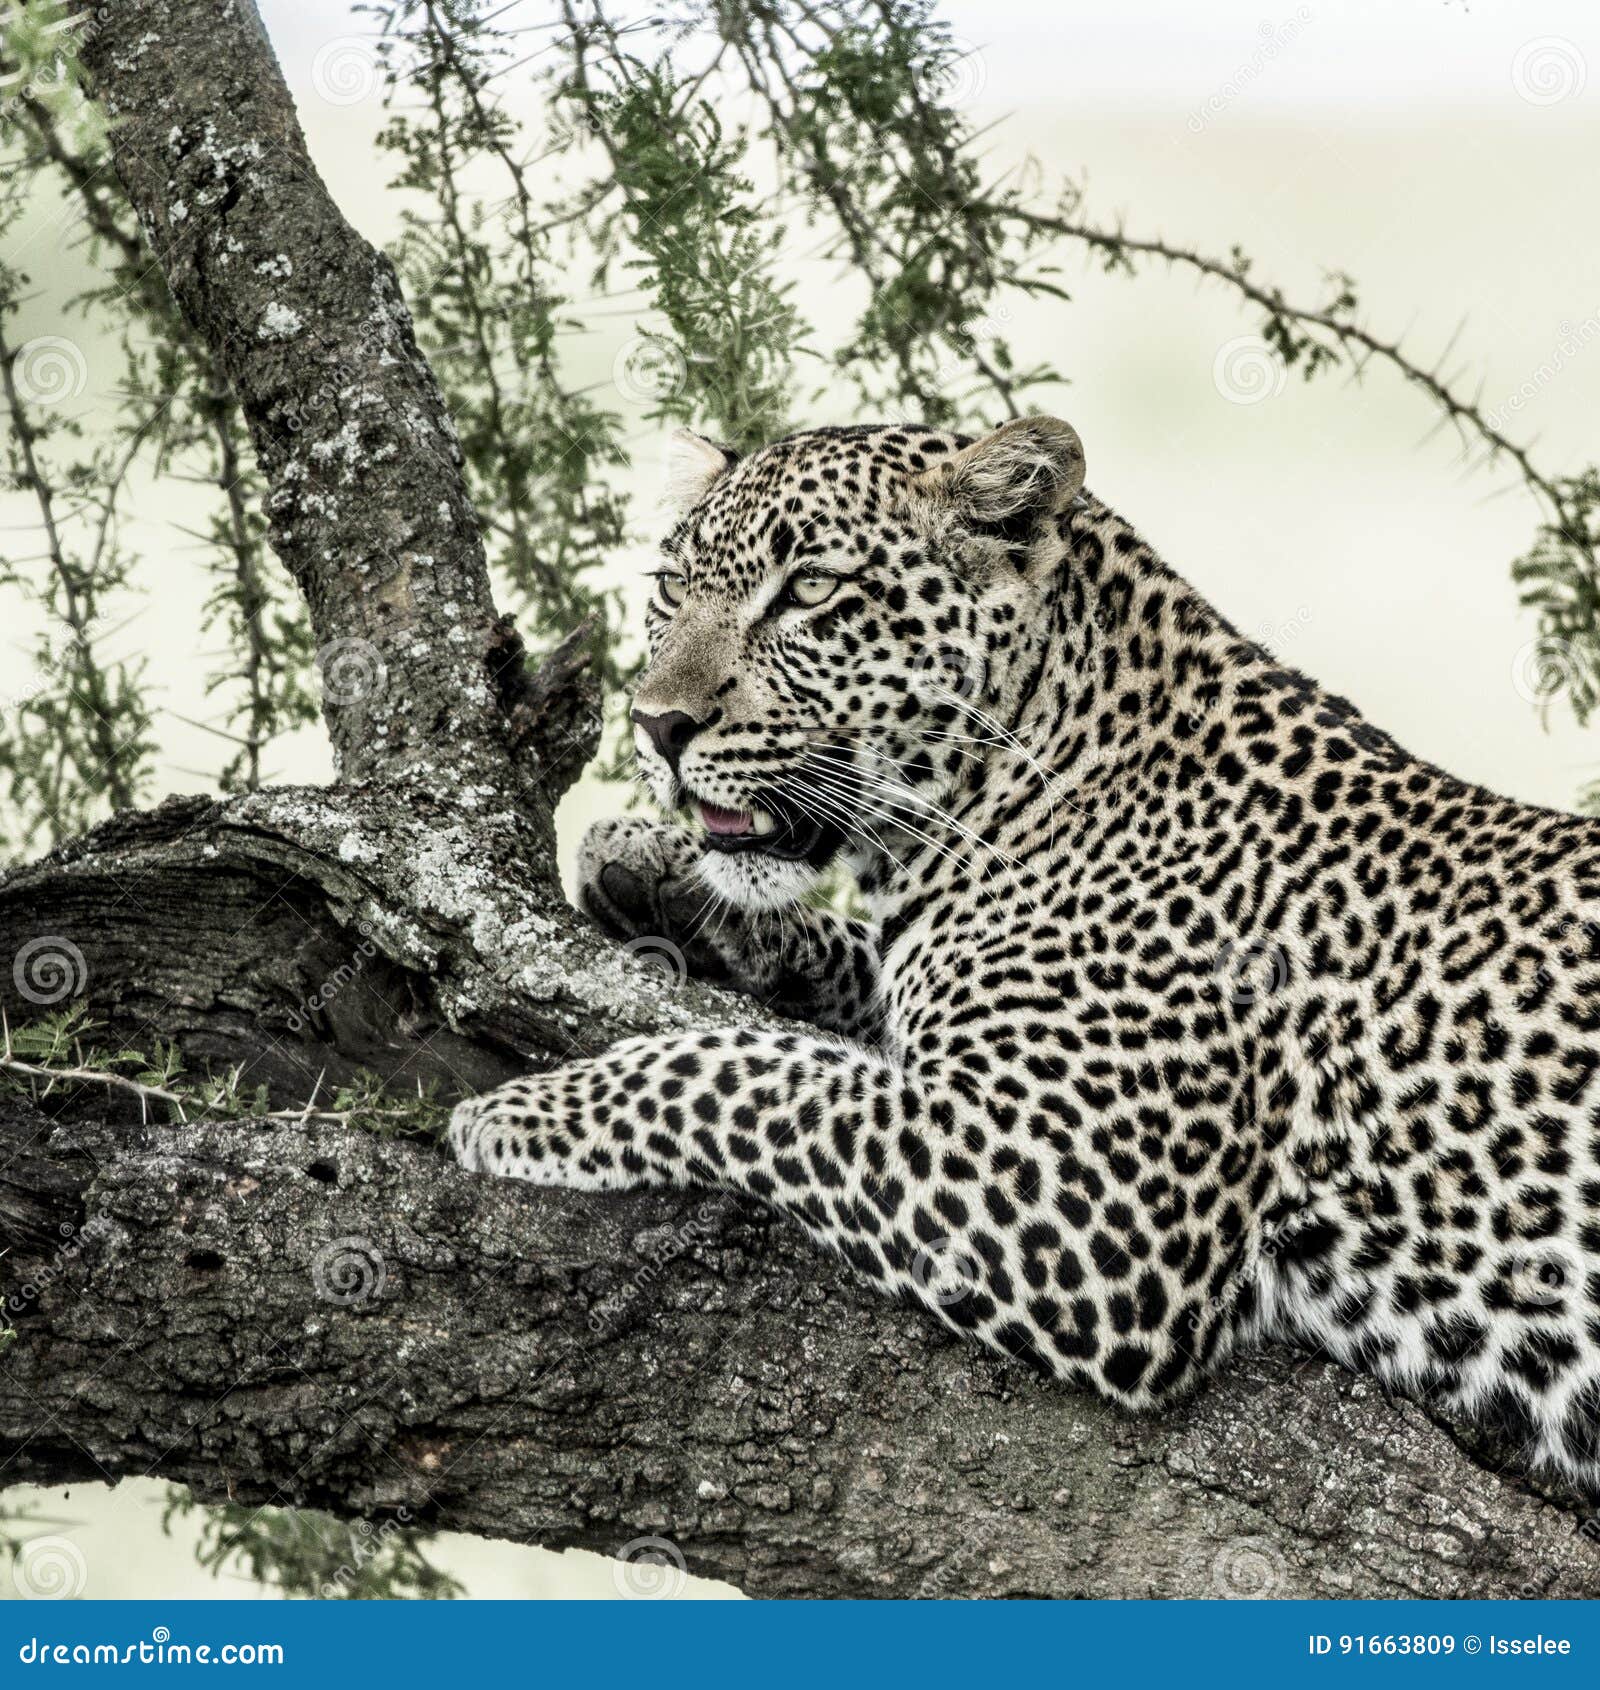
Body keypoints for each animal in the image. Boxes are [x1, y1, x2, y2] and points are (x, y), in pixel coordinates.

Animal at [451, 415, 1600, 1497]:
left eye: (810, 591)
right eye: (671, 590)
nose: (655, 725)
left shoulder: (1081, 1190)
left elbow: (762, 1076)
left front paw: (529, 1111)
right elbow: (848, 982)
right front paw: (653, 874)